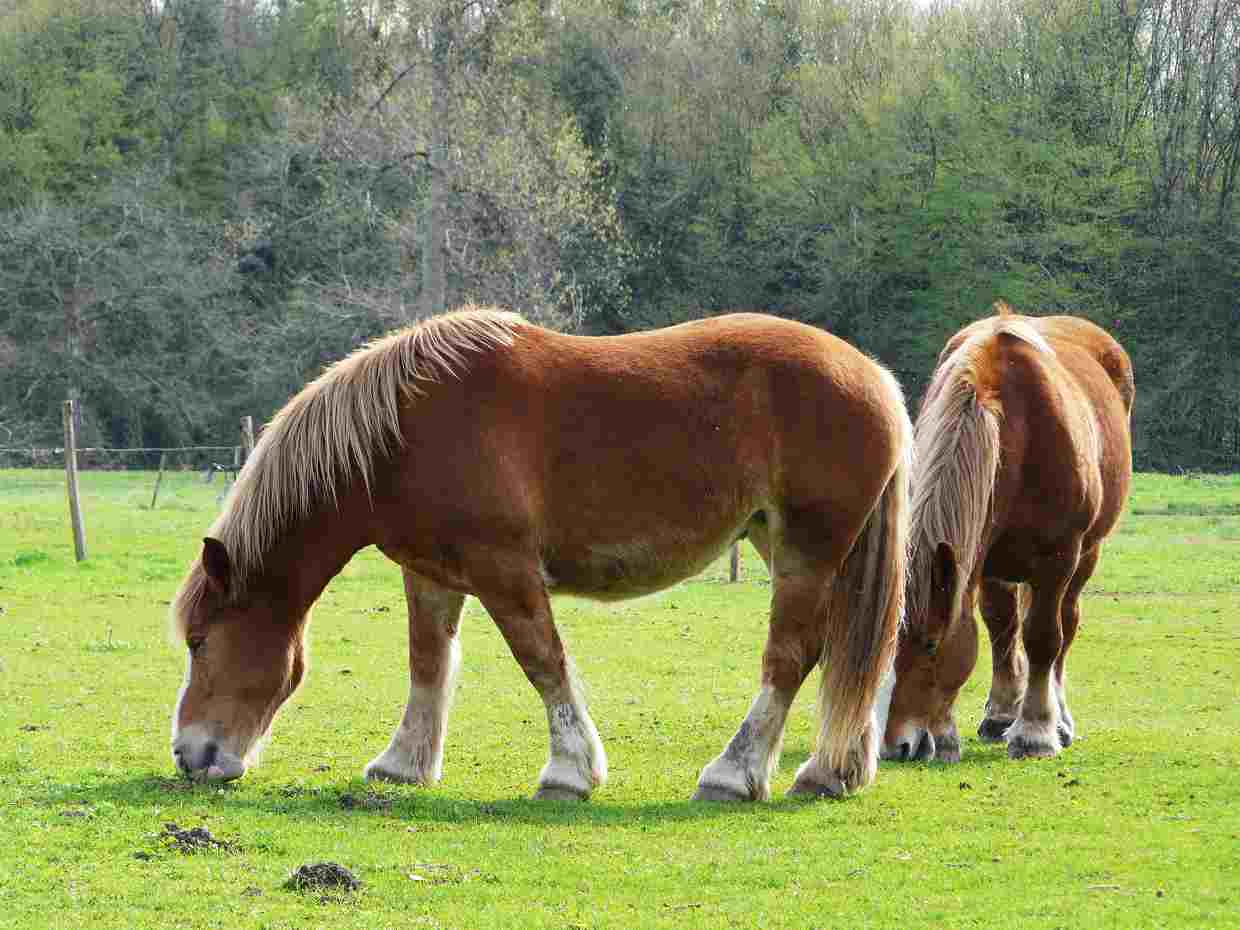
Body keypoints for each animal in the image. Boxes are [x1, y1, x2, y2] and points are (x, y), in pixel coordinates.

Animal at [170, 307, 913, 802]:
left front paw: (570, 771)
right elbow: (427, 663)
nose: (189, 754)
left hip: (808, 553)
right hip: (784, 544)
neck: (402, 433)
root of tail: (873, 375)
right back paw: (832, 772)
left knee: (791, 657)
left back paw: (735, 774)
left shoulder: (506, 570)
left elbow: (542, 662)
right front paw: (403, 764)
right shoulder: (430, 574)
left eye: (200, 642)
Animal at [877, 303, 1133, 763]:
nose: (897, 746)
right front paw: (971, 725)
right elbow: (994, 630)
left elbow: (1044, 638)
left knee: (1065, 626)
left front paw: (1035, 732)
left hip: (1084, 557)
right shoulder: (982, 559)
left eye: (930, 644)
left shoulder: (1057, 559)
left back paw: (1059, 719)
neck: (1020, 428)